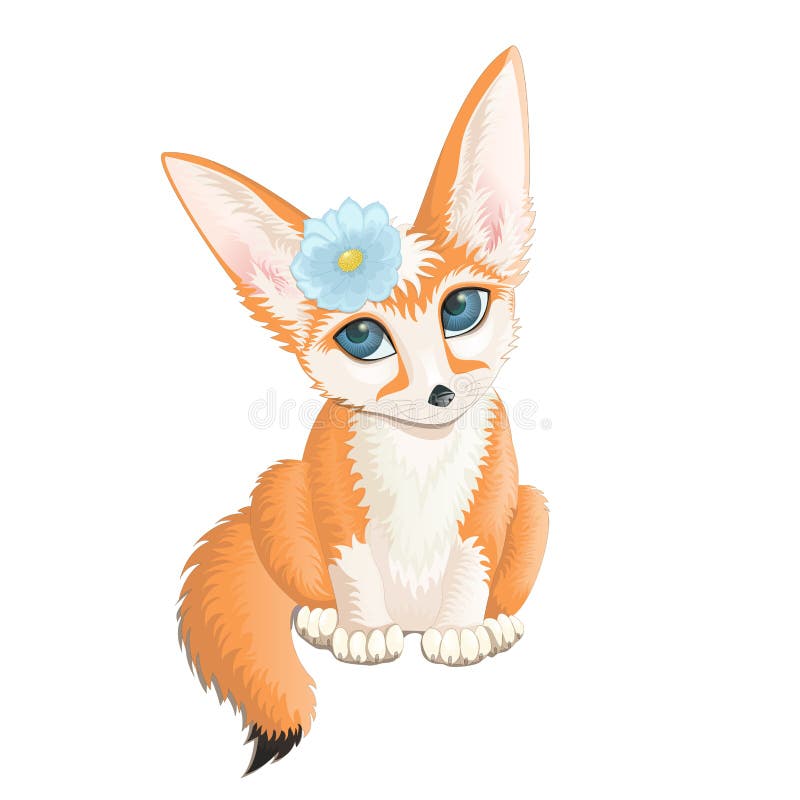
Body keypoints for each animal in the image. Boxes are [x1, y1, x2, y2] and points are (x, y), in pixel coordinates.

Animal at [163, 46, 549, 775]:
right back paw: (323, 618)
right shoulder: (331, 489)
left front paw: (461, 629)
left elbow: (472, 562)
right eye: (363, 338)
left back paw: (493, 622)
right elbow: (353, 566)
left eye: (461, 309)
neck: (421, 456)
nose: (440, 393)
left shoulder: (496, 491)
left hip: (536, 506)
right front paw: (364, 632)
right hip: (281, 485)